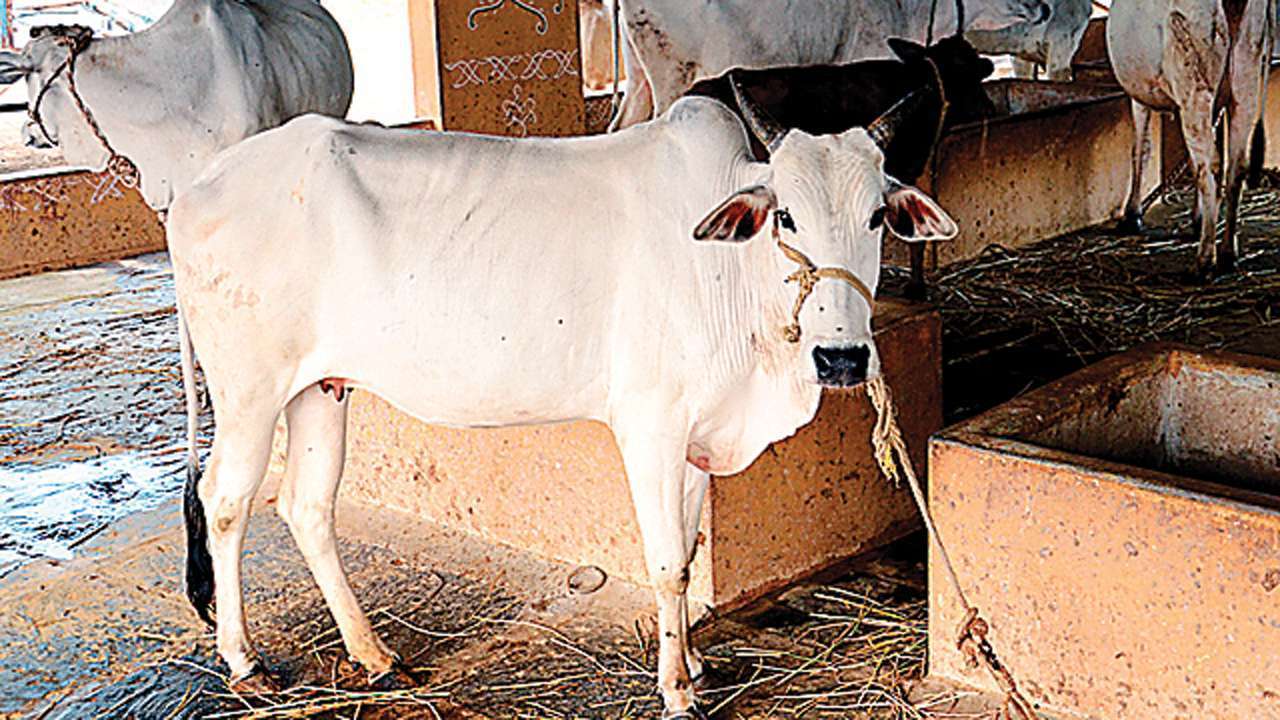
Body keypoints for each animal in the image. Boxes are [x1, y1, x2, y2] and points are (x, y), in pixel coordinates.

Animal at [168, 93, 957, 715]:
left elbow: (691, 547)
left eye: (879, 216)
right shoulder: (650, 426)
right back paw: (244, 661)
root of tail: (197, 186)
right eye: (786, 216)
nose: (841, 357)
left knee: (307, 507)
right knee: (226, 502)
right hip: (250, 390)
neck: (732, 277)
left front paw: (693, 660)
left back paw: (375, 655)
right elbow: (667, 562)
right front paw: (677, 691)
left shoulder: (695, 433)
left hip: (320, 389)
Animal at [1108, 0, 1272, 276]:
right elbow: (1201, 158)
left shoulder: (1139, 96)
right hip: (1245, 80)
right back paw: (1227, 252)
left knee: (1208, 171)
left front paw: (1133, 215)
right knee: (1234, 168)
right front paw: (1198, 217)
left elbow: (1141, 150)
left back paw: (1205, 259)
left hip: (1194, 88)